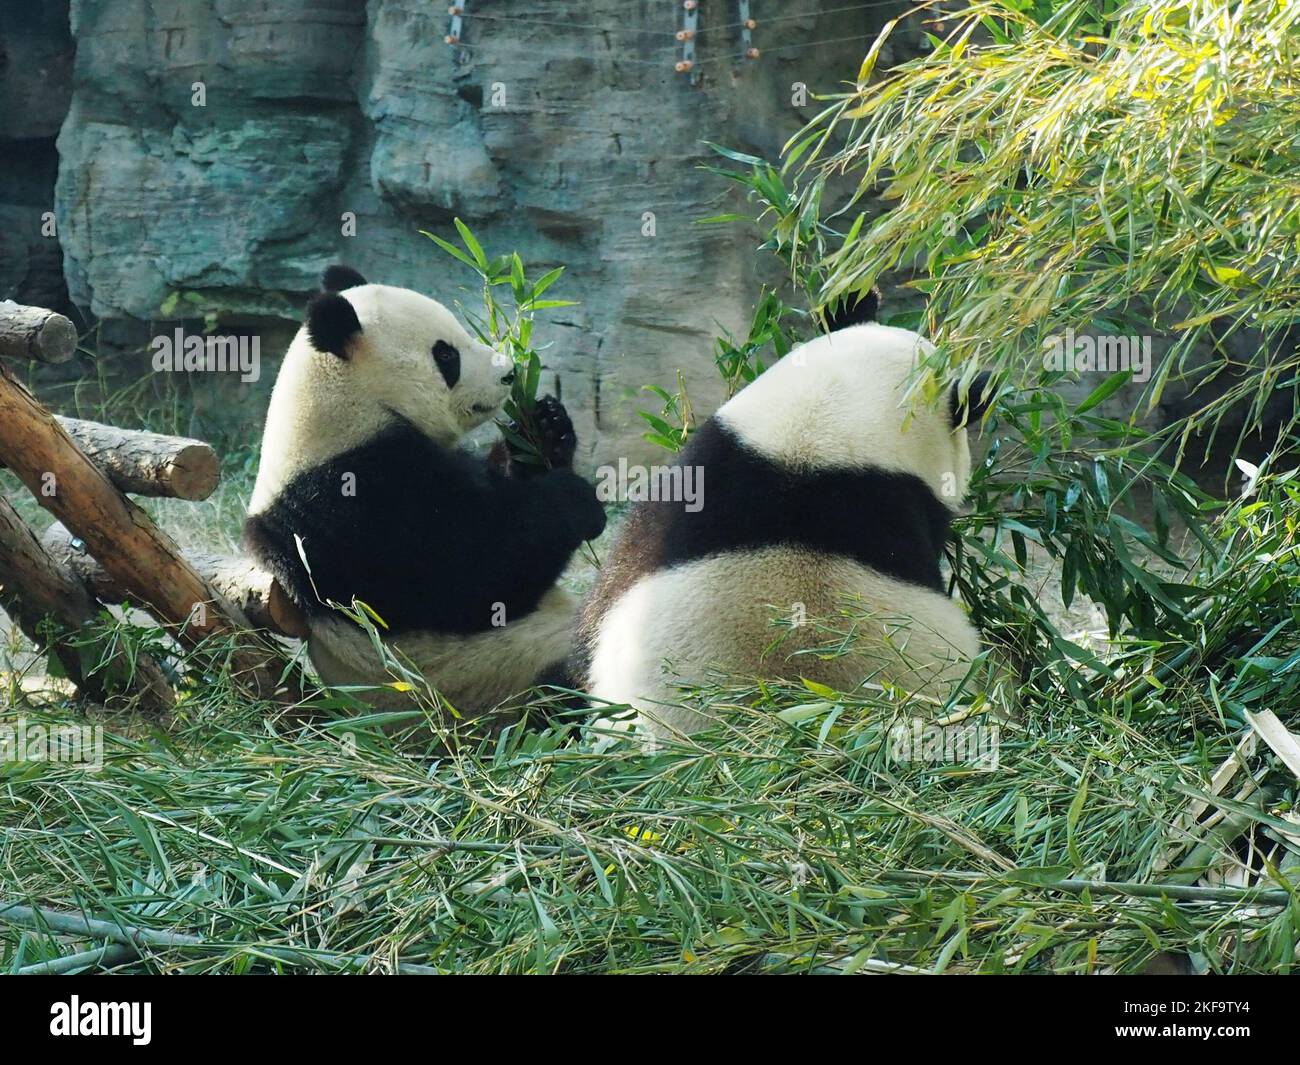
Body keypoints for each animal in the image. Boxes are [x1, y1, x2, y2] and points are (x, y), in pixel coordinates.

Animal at [244, 265, 606, 719]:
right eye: (446, 355)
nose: (508, 373)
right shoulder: (353, 502)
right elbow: (477, 574)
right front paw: (578, 500)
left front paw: (544, 428)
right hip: (499, 684)